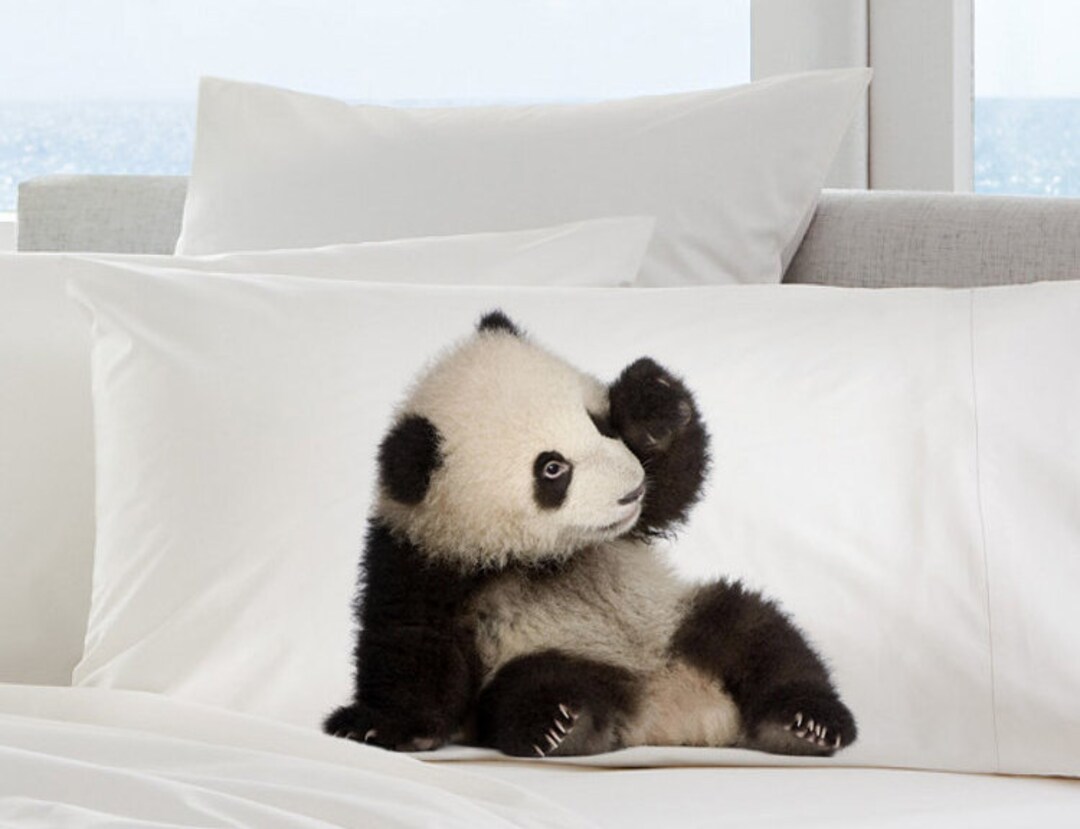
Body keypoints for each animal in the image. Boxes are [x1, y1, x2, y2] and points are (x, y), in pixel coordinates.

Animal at [325, 310, 857, 758]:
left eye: (600, 424)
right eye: (553, 468)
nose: (630, 489)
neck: (539, 555)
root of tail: (669, 711)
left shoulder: (626, 530)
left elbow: (671, 483)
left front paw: (653, 399)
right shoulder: (422, 557)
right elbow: (414, 645)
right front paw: (377, 724)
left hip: (674, 619)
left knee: (760, 635)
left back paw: (805, 723)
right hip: (570, 655)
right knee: (531, 688)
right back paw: (563, 725)